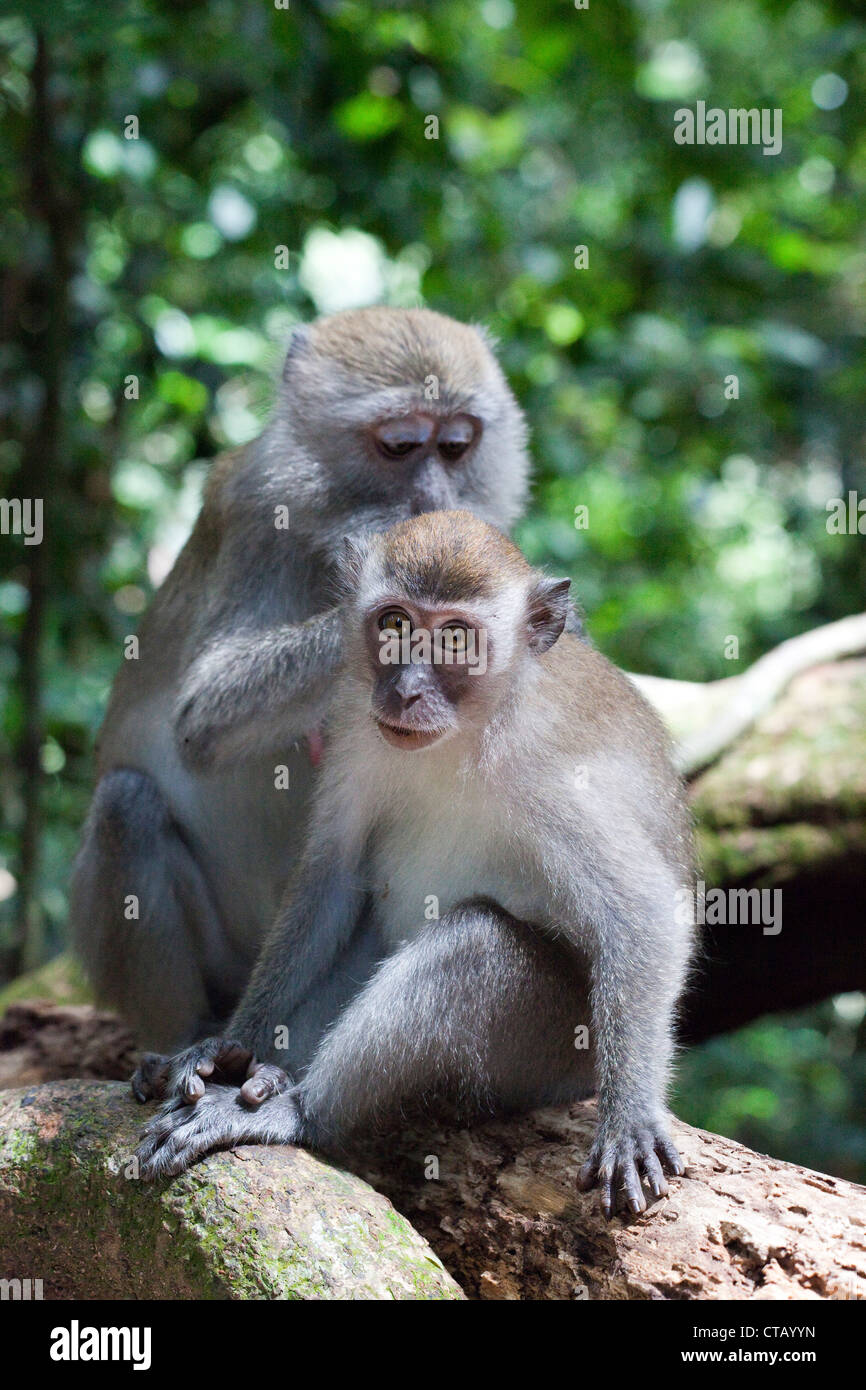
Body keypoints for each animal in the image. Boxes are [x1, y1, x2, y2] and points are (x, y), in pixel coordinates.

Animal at [69, 309, 530, 1073]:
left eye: (458, 446)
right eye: (399, 445)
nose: (437, 504)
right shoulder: (254, 517)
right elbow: (198, 719)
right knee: (125, 805)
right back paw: (185, 1043)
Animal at [136, 510, 695, 1219]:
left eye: (456, 638)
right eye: (395, 624)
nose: (405, 691)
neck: (468, 732)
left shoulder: (556, 775)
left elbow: (642, 912)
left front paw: (629, 1119)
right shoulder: (352, 721)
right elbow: (332, 876)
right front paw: (227, 1046)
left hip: (558, 1053)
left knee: (478, 944)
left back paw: (299, 1109)